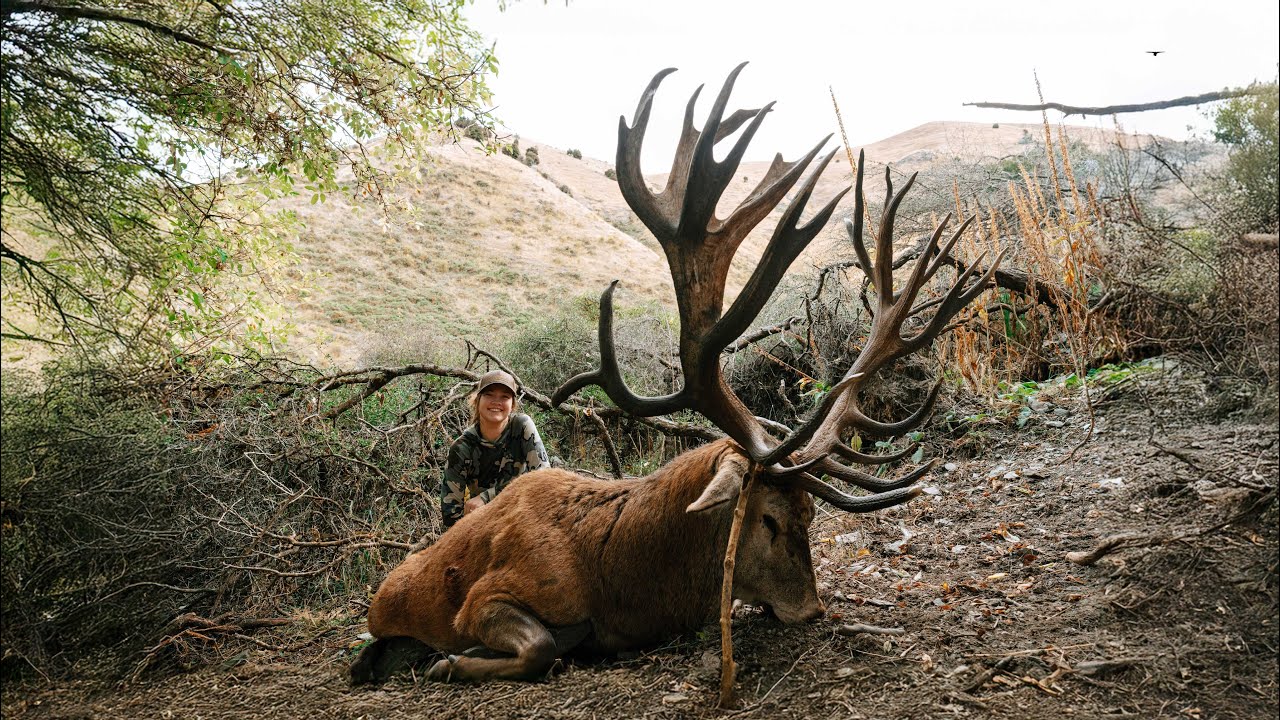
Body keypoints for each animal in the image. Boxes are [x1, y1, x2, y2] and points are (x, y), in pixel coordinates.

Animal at [350, 62, 1001, 686]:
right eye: (766, 518)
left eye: (812, 516)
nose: (811, 610)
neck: (619, 579)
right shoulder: (484, 597)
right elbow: (539, 645)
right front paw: (449, 662)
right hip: (391, 603)